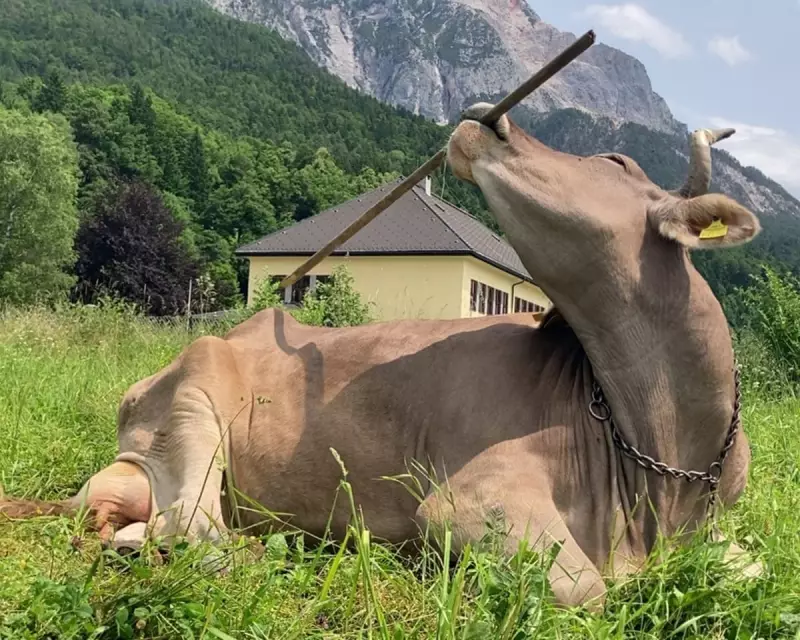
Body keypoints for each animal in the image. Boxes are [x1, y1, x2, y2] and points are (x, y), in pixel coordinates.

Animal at [1, 102, 762, 609]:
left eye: (613, 162)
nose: (485, 117)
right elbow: (588, 589)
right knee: (194, 529)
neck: (662, 464)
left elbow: (754, 572)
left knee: (153, 526)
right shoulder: (468, 501)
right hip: (193, 400)